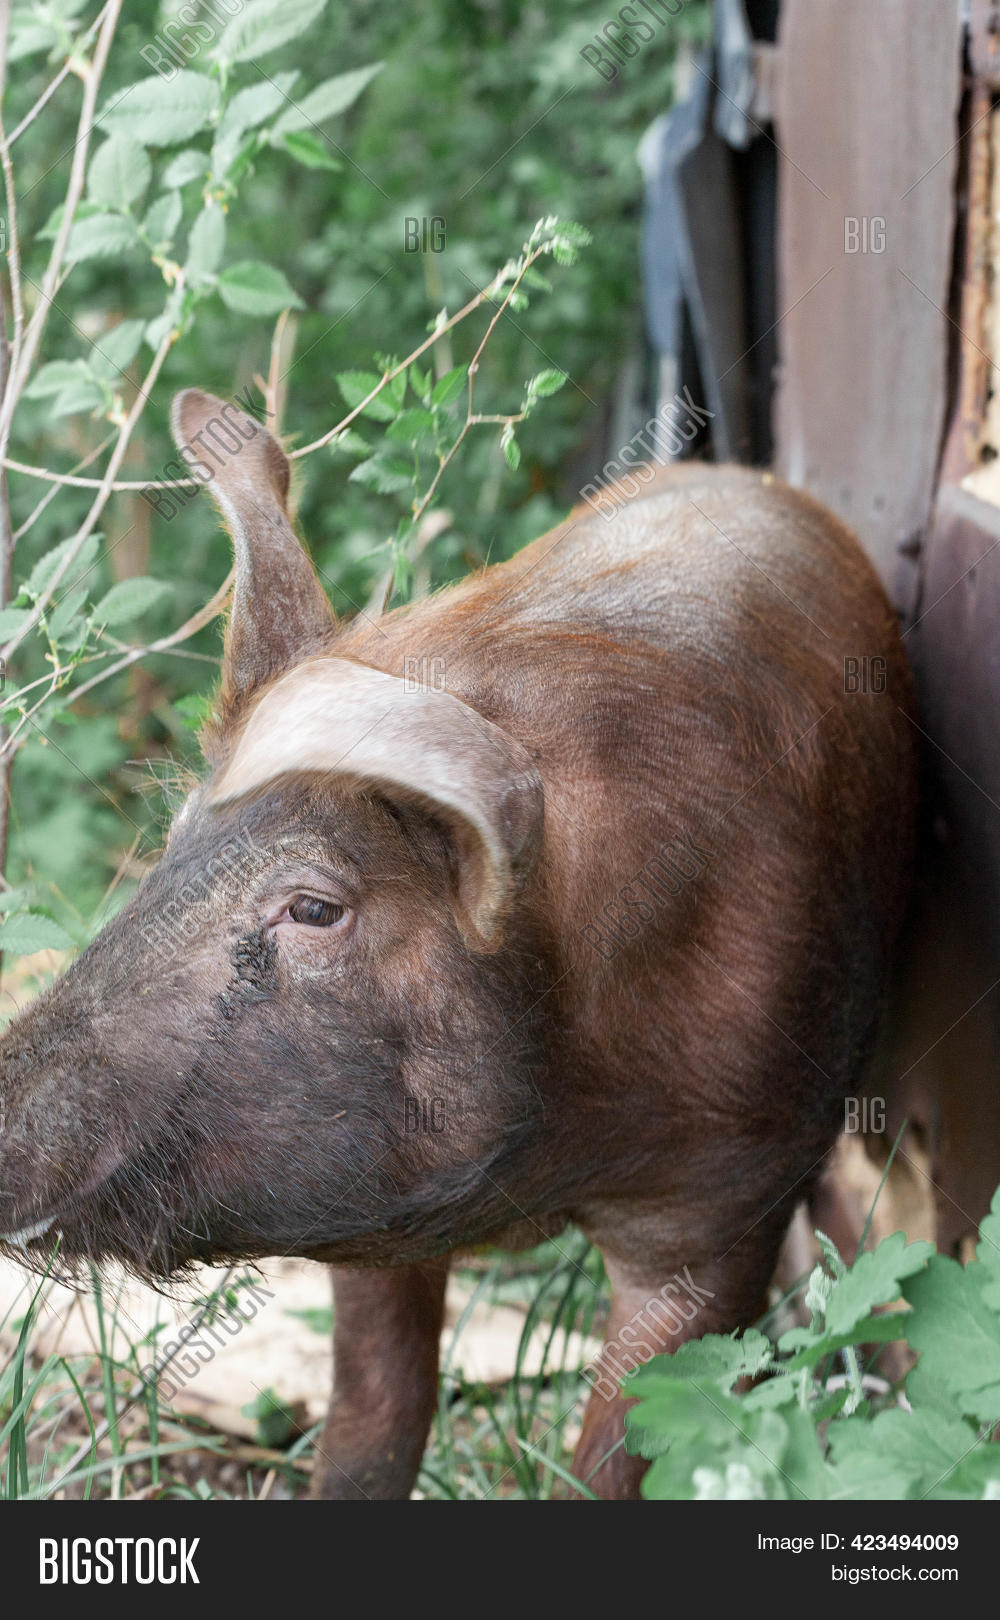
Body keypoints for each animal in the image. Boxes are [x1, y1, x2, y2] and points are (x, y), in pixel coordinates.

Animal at [0, 388, 916, 1499]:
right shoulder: (365, 1210)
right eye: (175, 842)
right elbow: (375, 1411)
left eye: (314, 907)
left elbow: (626, 1448)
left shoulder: (728, 1192)